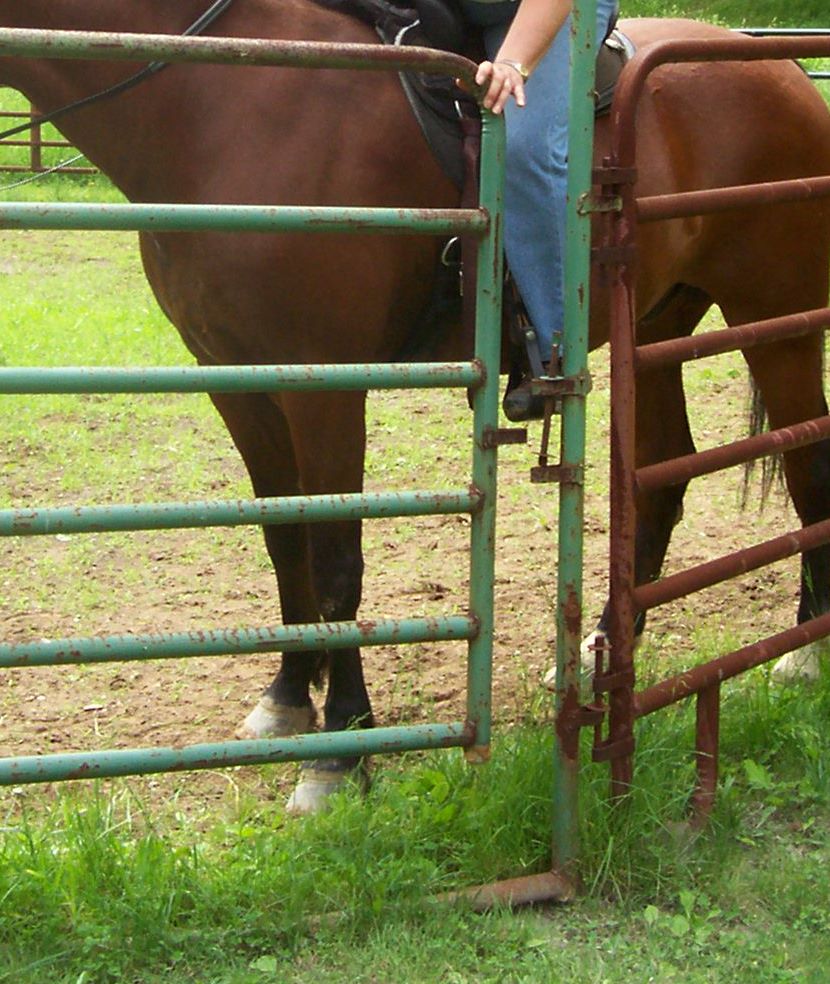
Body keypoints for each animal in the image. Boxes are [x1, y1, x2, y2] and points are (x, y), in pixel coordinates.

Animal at [2, 2, 829, 811]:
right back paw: (600, 652)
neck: (222, 101)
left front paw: (342, 752)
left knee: (806, 466)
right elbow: (284, 541)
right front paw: (289, 697)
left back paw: (804, 651)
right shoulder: (238, 381)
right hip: (657, 323)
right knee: (661, 476)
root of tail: (787, 74)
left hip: (777, 317)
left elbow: (336, 562)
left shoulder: (326, 386)